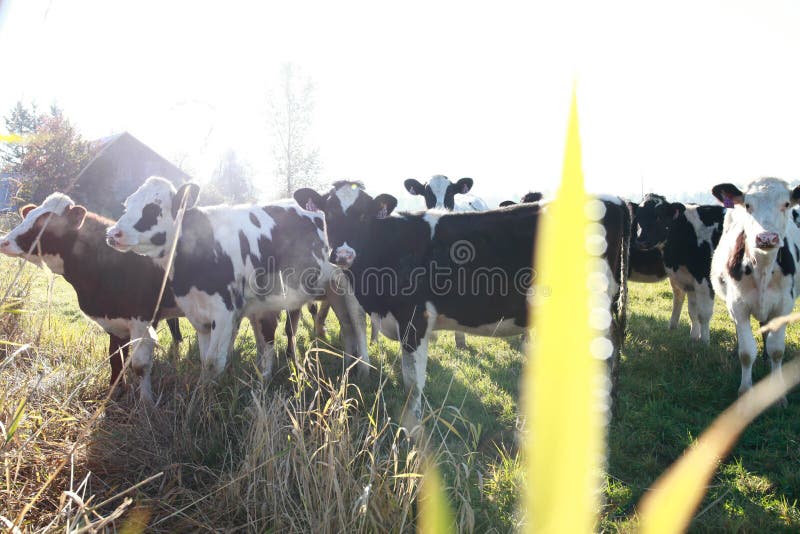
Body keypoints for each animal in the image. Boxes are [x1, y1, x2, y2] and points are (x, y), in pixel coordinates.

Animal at [0, 193, 183, 402]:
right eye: (28, 216)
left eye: (47, 221)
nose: (4, 241)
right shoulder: (114, 320)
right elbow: (115, 358)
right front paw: (114, 391)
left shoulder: (143, 321)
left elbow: (139, 365)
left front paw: (146, 402)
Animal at [106, 177, 367, 384]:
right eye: (127, 204)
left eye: (152, 208)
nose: (112, 233)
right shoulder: (198, 313)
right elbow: (205, 361)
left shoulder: (225, 311)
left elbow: (213, 362)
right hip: (332, 289)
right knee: (346, 325)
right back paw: (347, 364)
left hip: (351, 286)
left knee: (358, 322)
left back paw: (363, 369)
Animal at [294, 181, 631, 429]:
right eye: (327, 212)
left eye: (364, 214)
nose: (342, 255)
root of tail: (615, 200)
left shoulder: (414, 319)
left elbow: (412, 382)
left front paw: (411, 428)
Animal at [630, 194, 725, 343]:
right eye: (638, 217)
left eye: (659, 216)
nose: (640, 240)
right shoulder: (689, 280)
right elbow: (693, 311)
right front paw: (694, 338)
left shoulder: (705, 280)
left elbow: (704, 314)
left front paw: (705, 342)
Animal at [710, 177, 800, 403]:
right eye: (748, 205)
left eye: (786, 204)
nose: (766, 238)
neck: (763, 269)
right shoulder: (738, 306)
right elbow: (746, 352)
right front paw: (745, 391)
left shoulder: (783, 306)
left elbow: (777, 350)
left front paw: (778, 393)